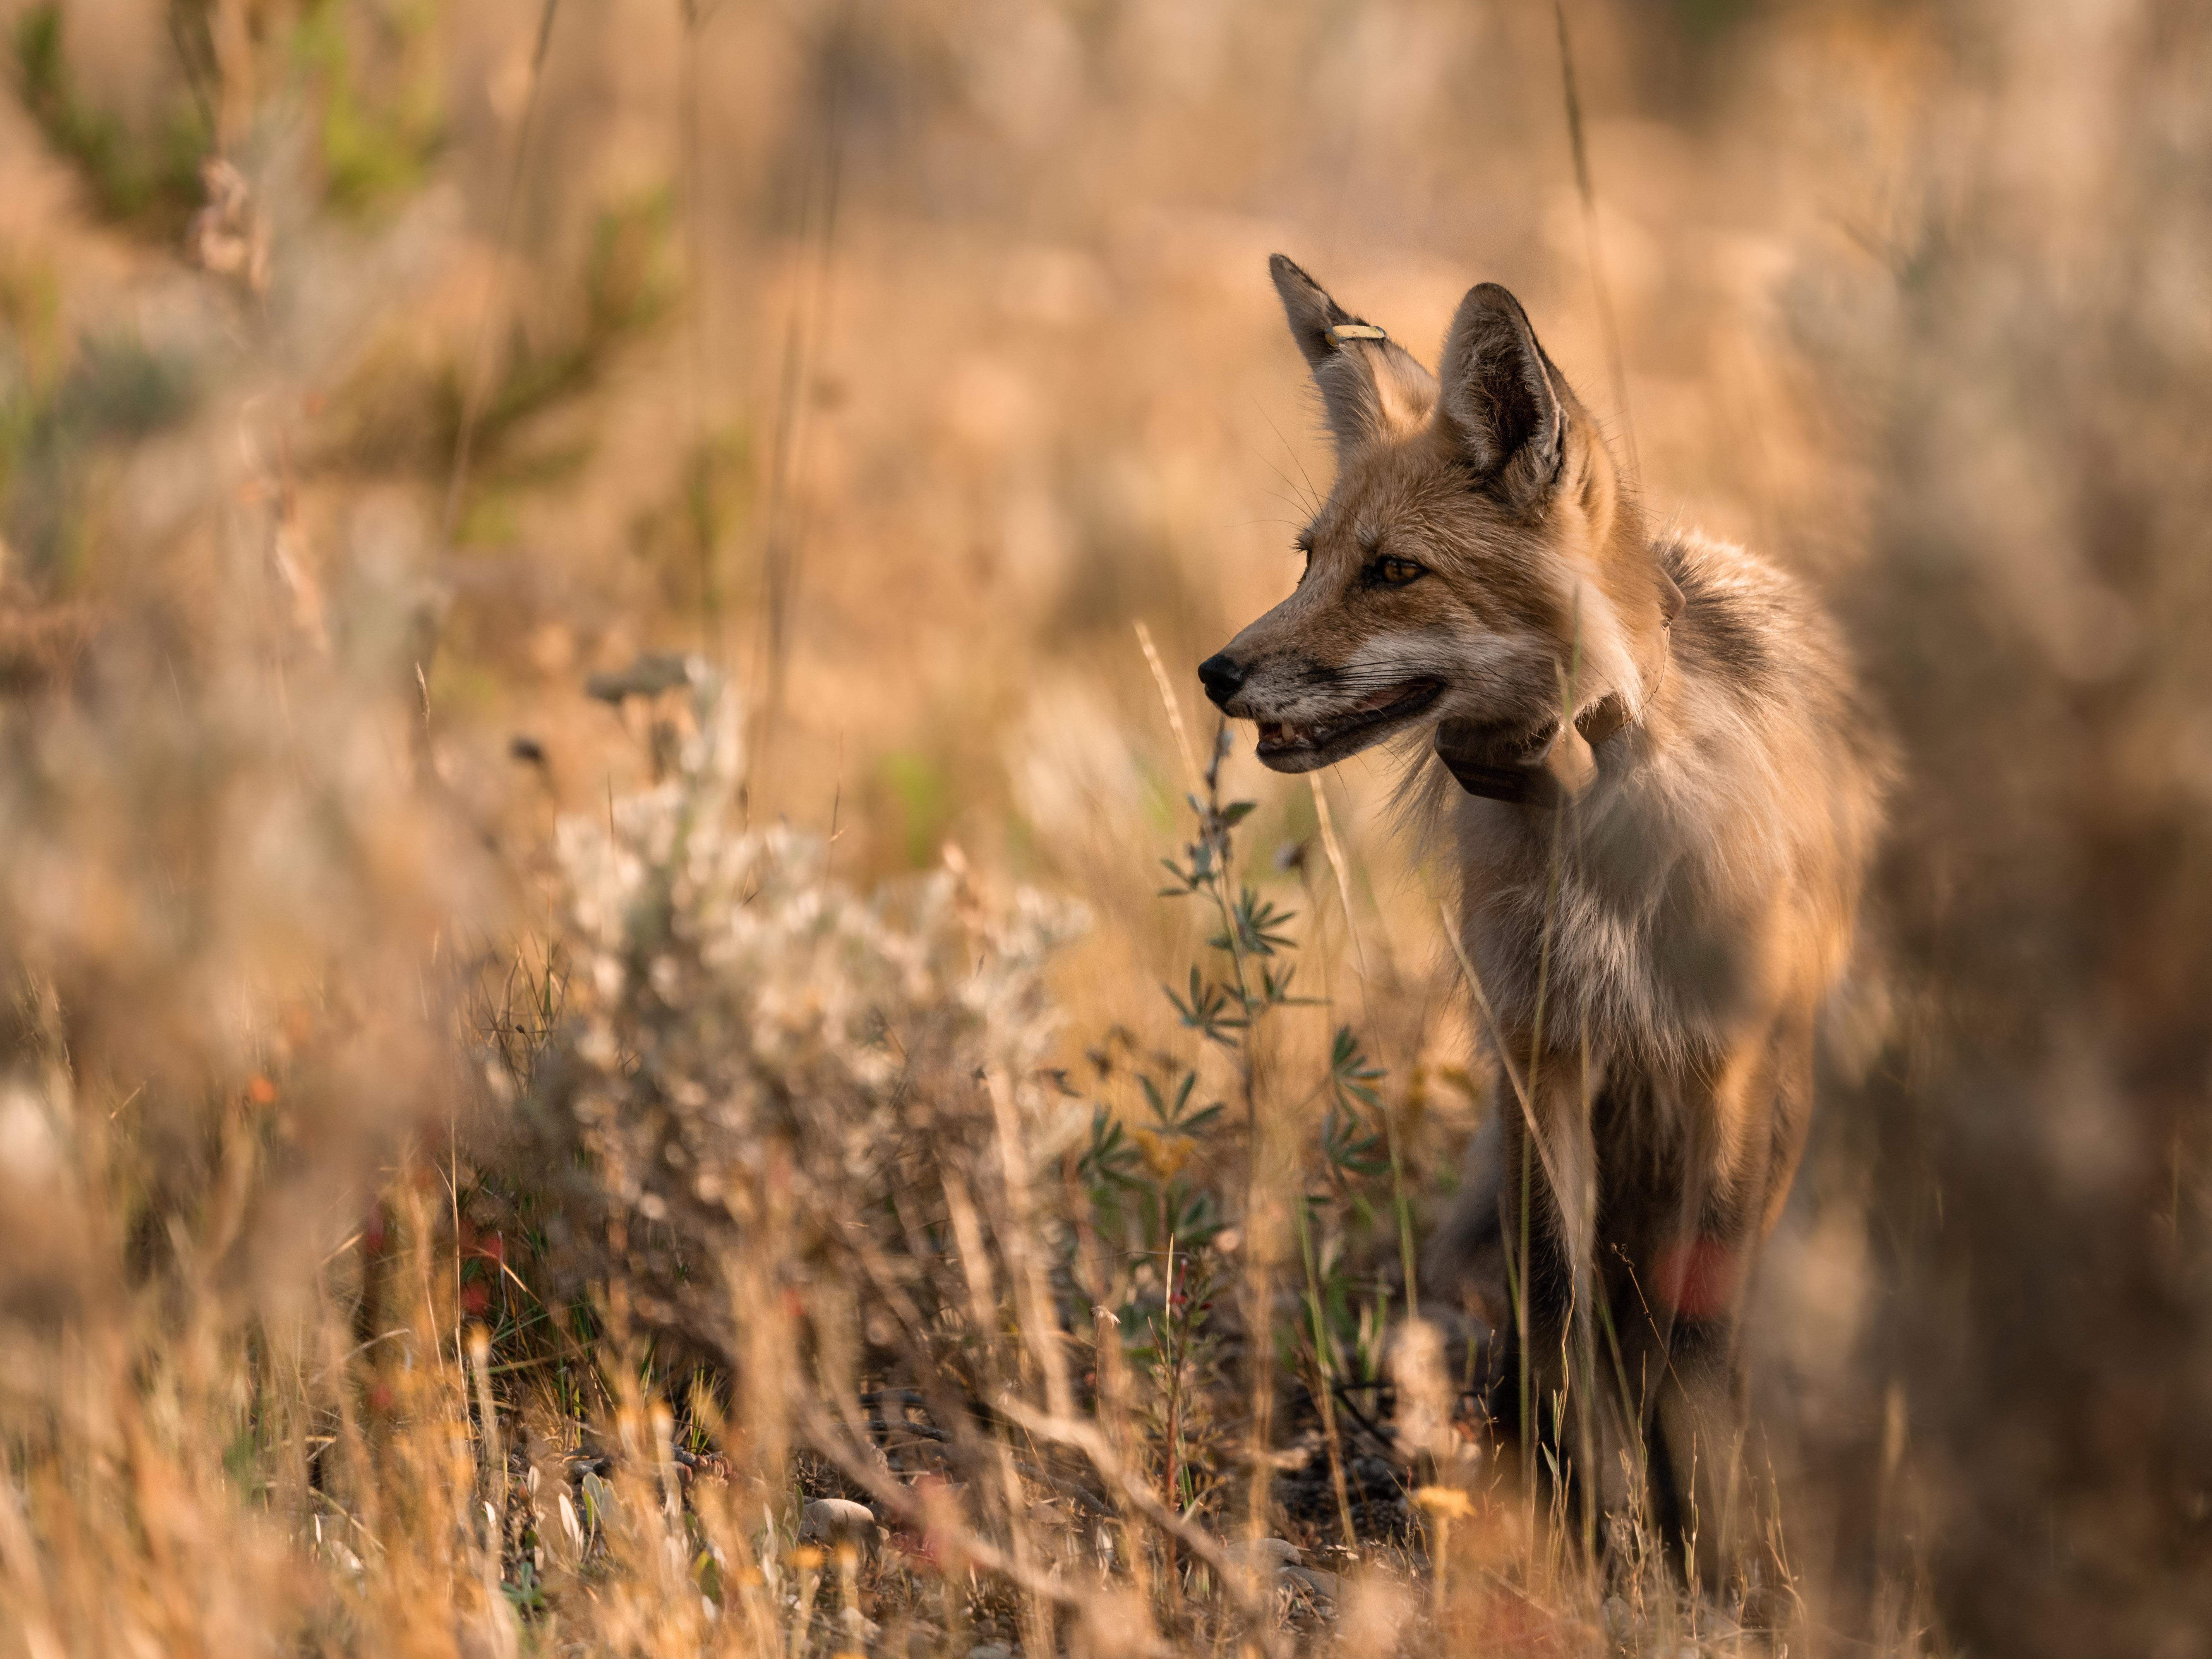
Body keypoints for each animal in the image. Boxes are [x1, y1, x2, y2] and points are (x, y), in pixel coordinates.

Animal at [1199, 256, 1889, 1583]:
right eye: (1307, 558)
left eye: (1392, 572)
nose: (1217, 672)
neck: (1591, 838)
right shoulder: (1537, 1043)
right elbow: (1559, 1301)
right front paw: (1592, 1523)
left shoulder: (1720, 1063)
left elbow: (1690, 1332)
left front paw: (1710, 1554)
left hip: (1768, 1095)